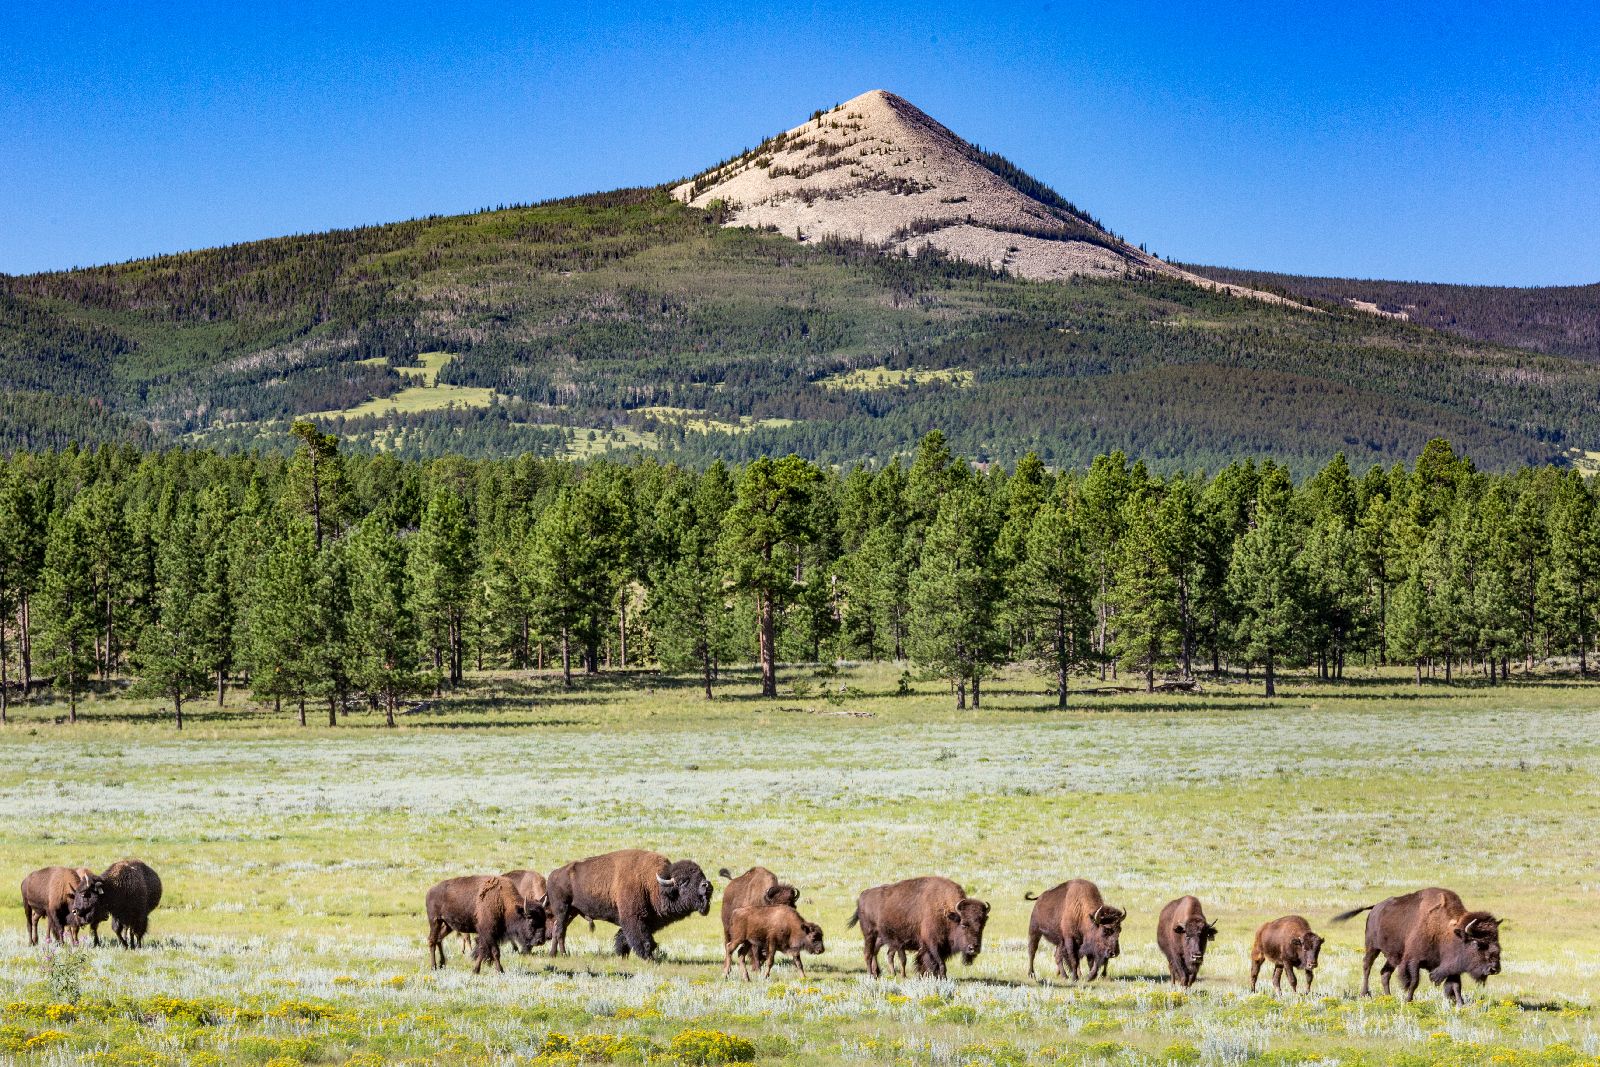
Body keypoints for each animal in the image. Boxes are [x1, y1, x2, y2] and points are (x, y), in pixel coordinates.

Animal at [545, 849, 713, 961]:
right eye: (684, 881)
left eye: (701, 875)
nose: (707, 885)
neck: (653, 884)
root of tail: (553, 874)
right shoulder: (633, 917)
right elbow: (641, 937)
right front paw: (648, 957)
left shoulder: (649, 920)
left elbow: (625, 936)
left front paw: (622, 953)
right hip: (562, 909)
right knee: (559, 930)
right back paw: (559, 954)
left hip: (571, 912)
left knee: (559, 929)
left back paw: (558, 954)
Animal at [849, 876, 989, 979]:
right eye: (964, 924)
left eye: (982, 925)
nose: (973, 948)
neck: (947, 914)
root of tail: (863, 895)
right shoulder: (932, 945)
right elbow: (939, 964)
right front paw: (942, 979)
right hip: (869, 934)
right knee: (868, 954)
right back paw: (871, 975)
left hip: (881, 937)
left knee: (875, 953)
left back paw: (878, 973)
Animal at [1335, 887, 1502, 1005]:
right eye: (1477, 943)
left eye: (1496, 940)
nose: (1494, 969)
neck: (1447, 931)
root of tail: (1375, 907)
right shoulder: (1413, 961)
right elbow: (1414, 982)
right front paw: (1408, 1001)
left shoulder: (1451, 966)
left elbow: (1456, 986)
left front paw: (1461, 1004)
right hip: (1372, 947)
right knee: (1367, 966)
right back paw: (1365, 993)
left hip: (1393, 956)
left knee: (1385, 973)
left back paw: (1388, 997)